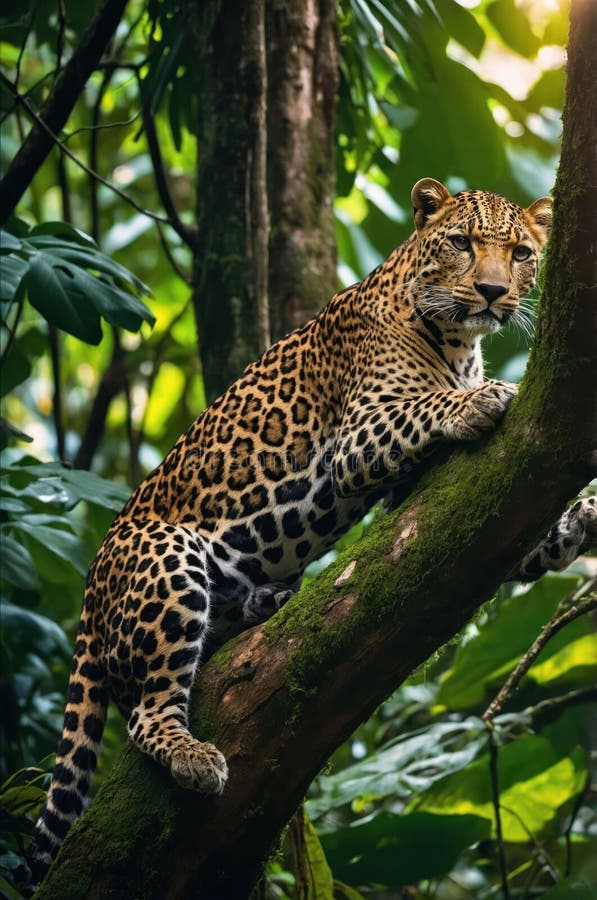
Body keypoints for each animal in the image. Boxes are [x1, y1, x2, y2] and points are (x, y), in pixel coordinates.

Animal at [30, 178, 596, 881]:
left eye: (520, 253)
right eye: (462, 243)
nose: (493, 292)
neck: (458, 341)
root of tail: (90, 592)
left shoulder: (427, 490)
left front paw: (585, 517)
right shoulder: (357, 437)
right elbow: (425, 405)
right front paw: (487, 395)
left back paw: (265, 603)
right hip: (163, 553)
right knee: (144, 709)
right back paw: (192, 753)